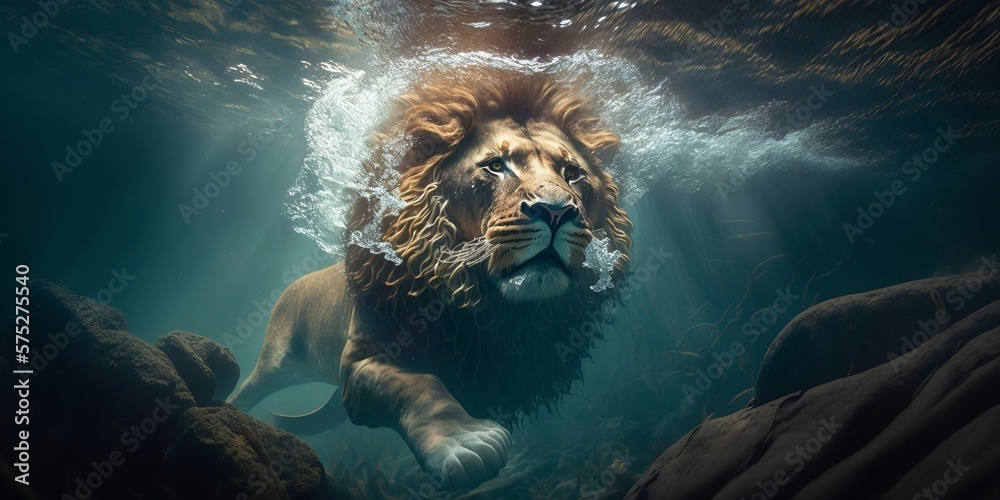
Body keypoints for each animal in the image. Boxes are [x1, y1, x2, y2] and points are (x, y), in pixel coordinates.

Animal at [227, 71, 633, 490]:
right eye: (496, 166)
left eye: (572, 173)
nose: (556, 212)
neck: (486, 303)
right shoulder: (366, 354)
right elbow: (419, 387)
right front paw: (464, 444)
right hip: (279, 357)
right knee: (252, 382)